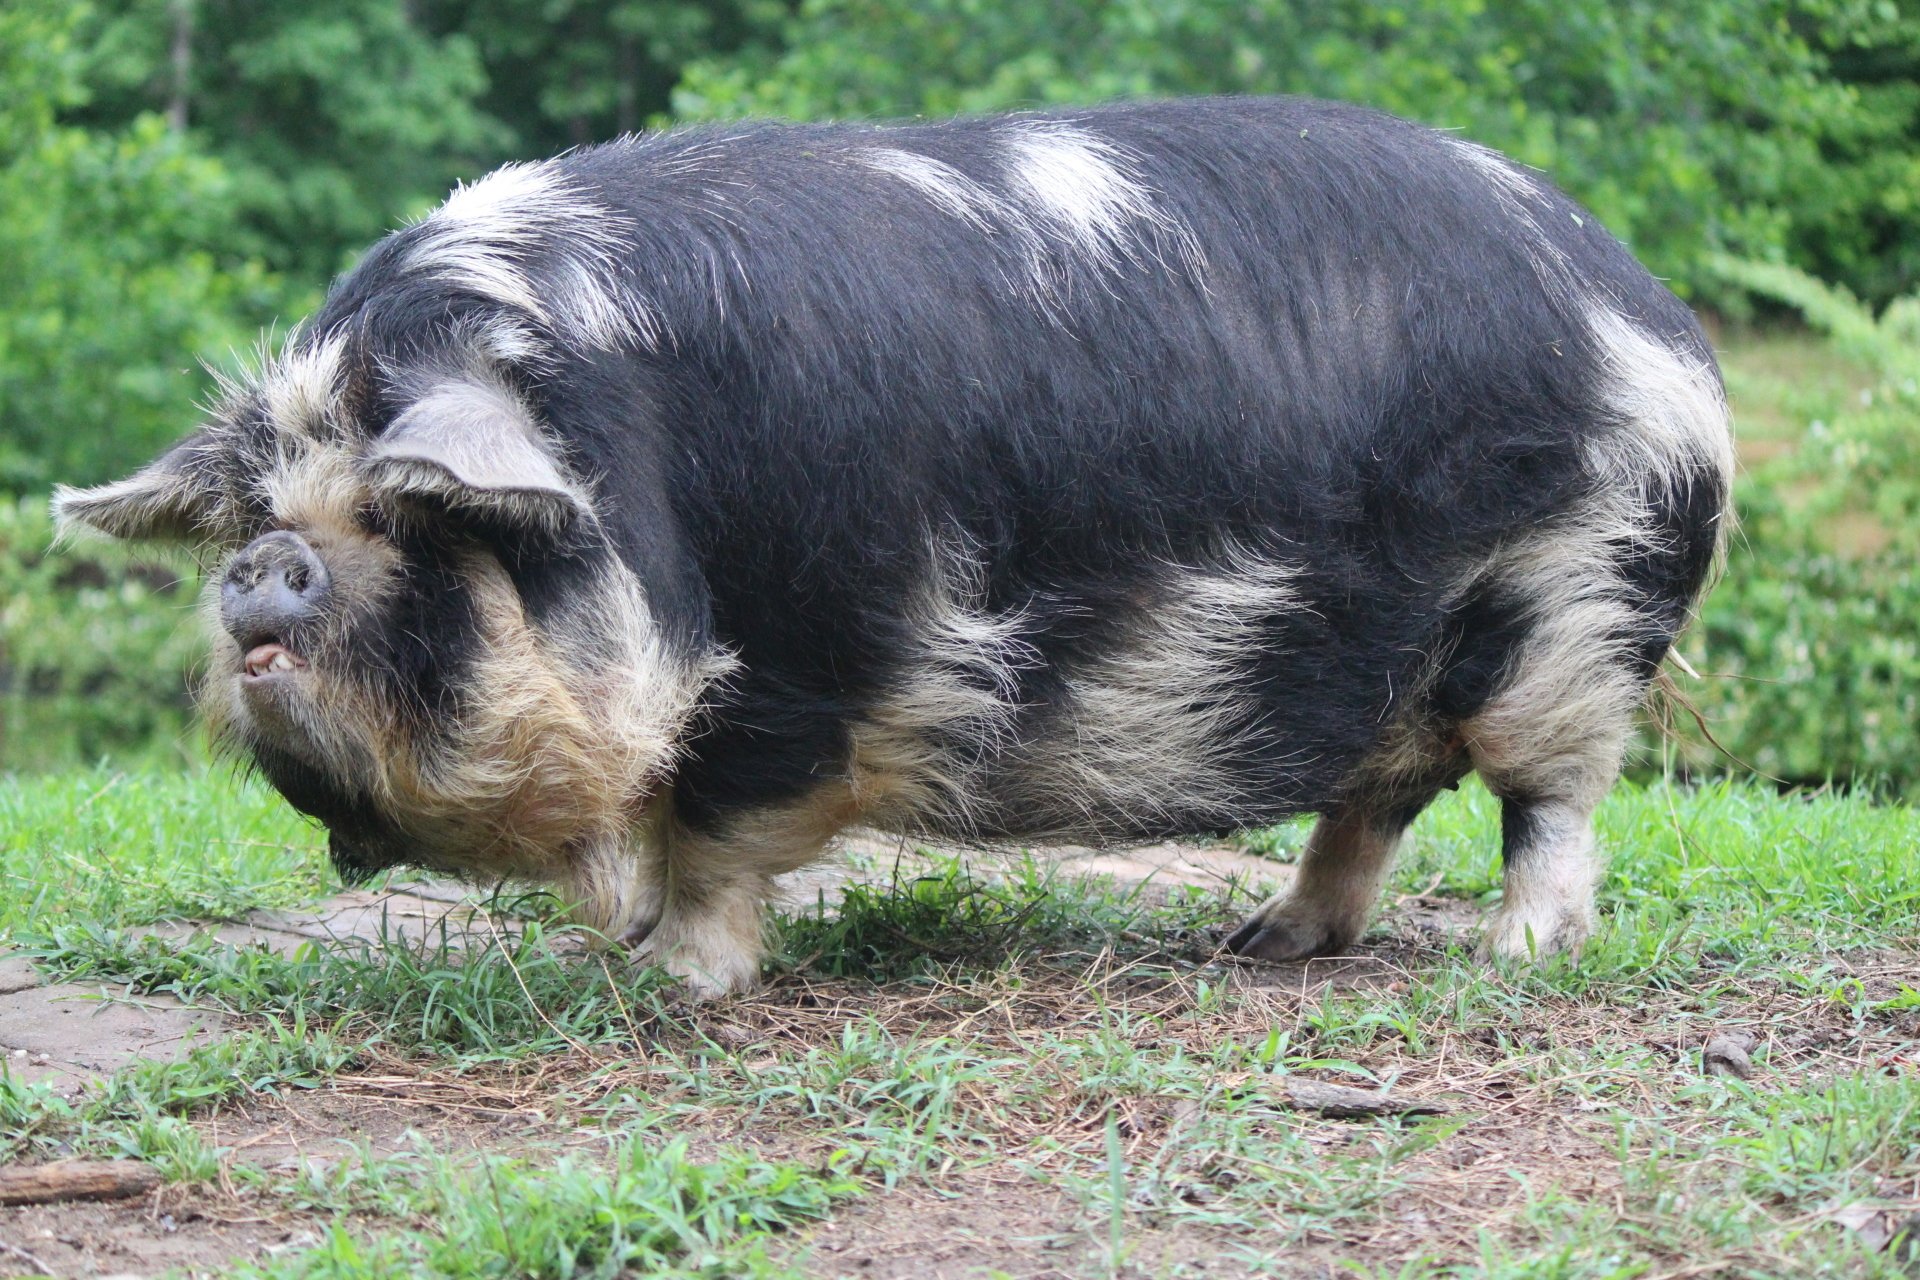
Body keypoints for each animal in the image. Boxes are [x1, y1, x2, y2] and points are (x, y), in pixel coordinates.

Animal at [55, 97, 1732, 996]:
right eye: (264, 509)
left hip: (1571, 606)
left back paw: (1513, 957)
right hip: (1397, 662)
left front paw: (667, 975)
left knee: (1548, 798)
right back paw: (1269, 940)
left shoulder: (814, 658)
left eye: (416, 513)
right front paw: (621, 944)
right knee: (1374, 798)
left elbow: (717, 830)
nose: (262, 571)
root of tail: (1658, 318)